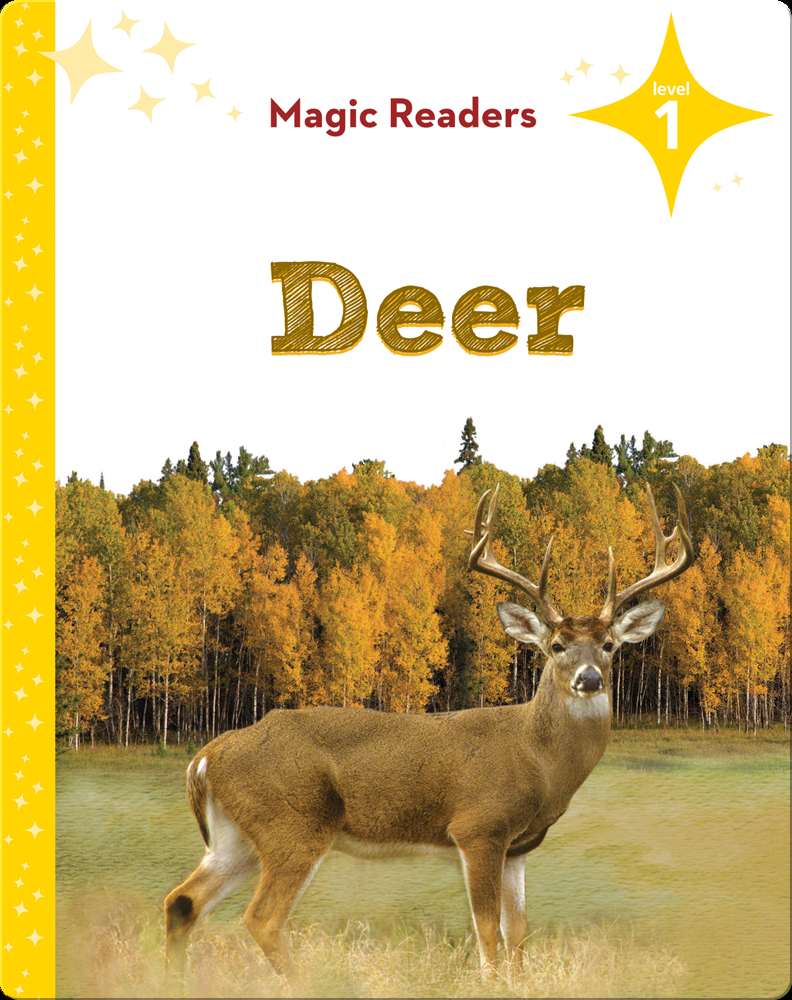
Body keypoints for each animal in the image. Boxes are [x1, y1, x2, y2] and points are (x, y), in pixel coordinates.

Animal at [165, 483, 694, 982]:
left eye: (609, 645)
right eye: (557, 645)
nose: (589, 679)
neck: (538, 759)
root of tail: (206, 757)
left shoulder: (519, 848)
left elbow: (518, 931)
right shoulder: (478, 827)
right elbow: (487, 931)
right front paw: (489, 983)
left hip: (236, 835)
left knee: (182, 902)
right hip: (294, 821)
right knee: (262, 918)